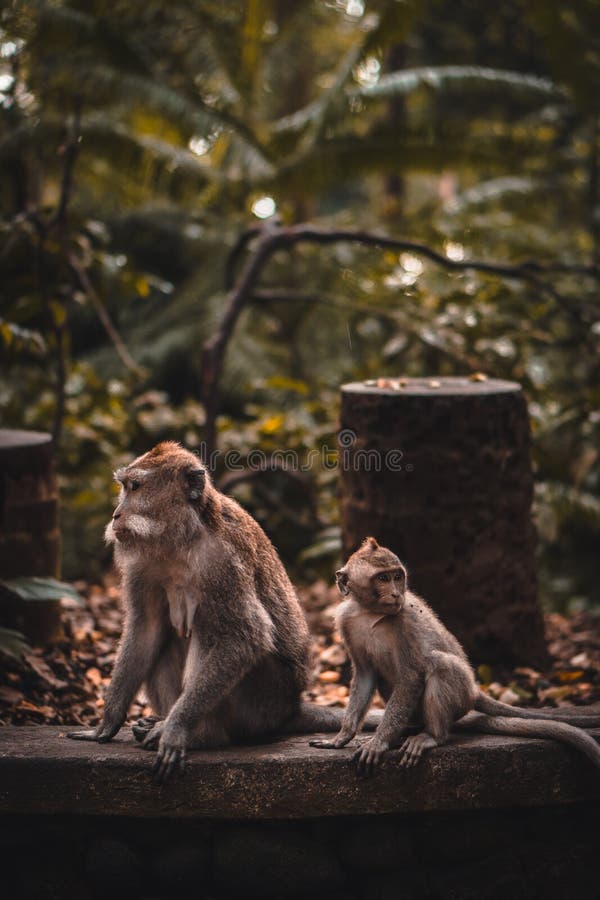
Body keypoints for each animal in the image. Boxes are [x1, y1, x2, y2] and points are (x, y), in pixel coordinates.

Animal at [67, 441, 376, 781]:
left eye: (135, 487)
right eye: (126, 487)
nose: (116, 514)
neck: (182, 536)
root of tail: (291, 708)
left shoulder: (223, 563)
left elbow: (244, 638)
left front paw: (175, 729)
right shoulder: (141, 565)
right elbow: (146, 629)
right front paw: (107, 723)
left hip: (263, 700)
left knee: (213, 633)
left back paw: (201, 734)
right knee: (168, 639)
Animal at [310, 537, 600, 775]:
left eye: (397, 577)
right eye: (383, 578)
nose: (395, 593)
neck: (369, 612)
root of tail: (474, 688)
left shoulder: (404, 620)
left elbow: (411, 676)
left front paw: (379, 742)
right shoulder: (346, 621)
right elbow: (366, 675)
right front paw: (343, 736)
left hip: (461, 694)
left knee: (441, 665)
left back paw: (433, 735)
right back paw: (412, 728)